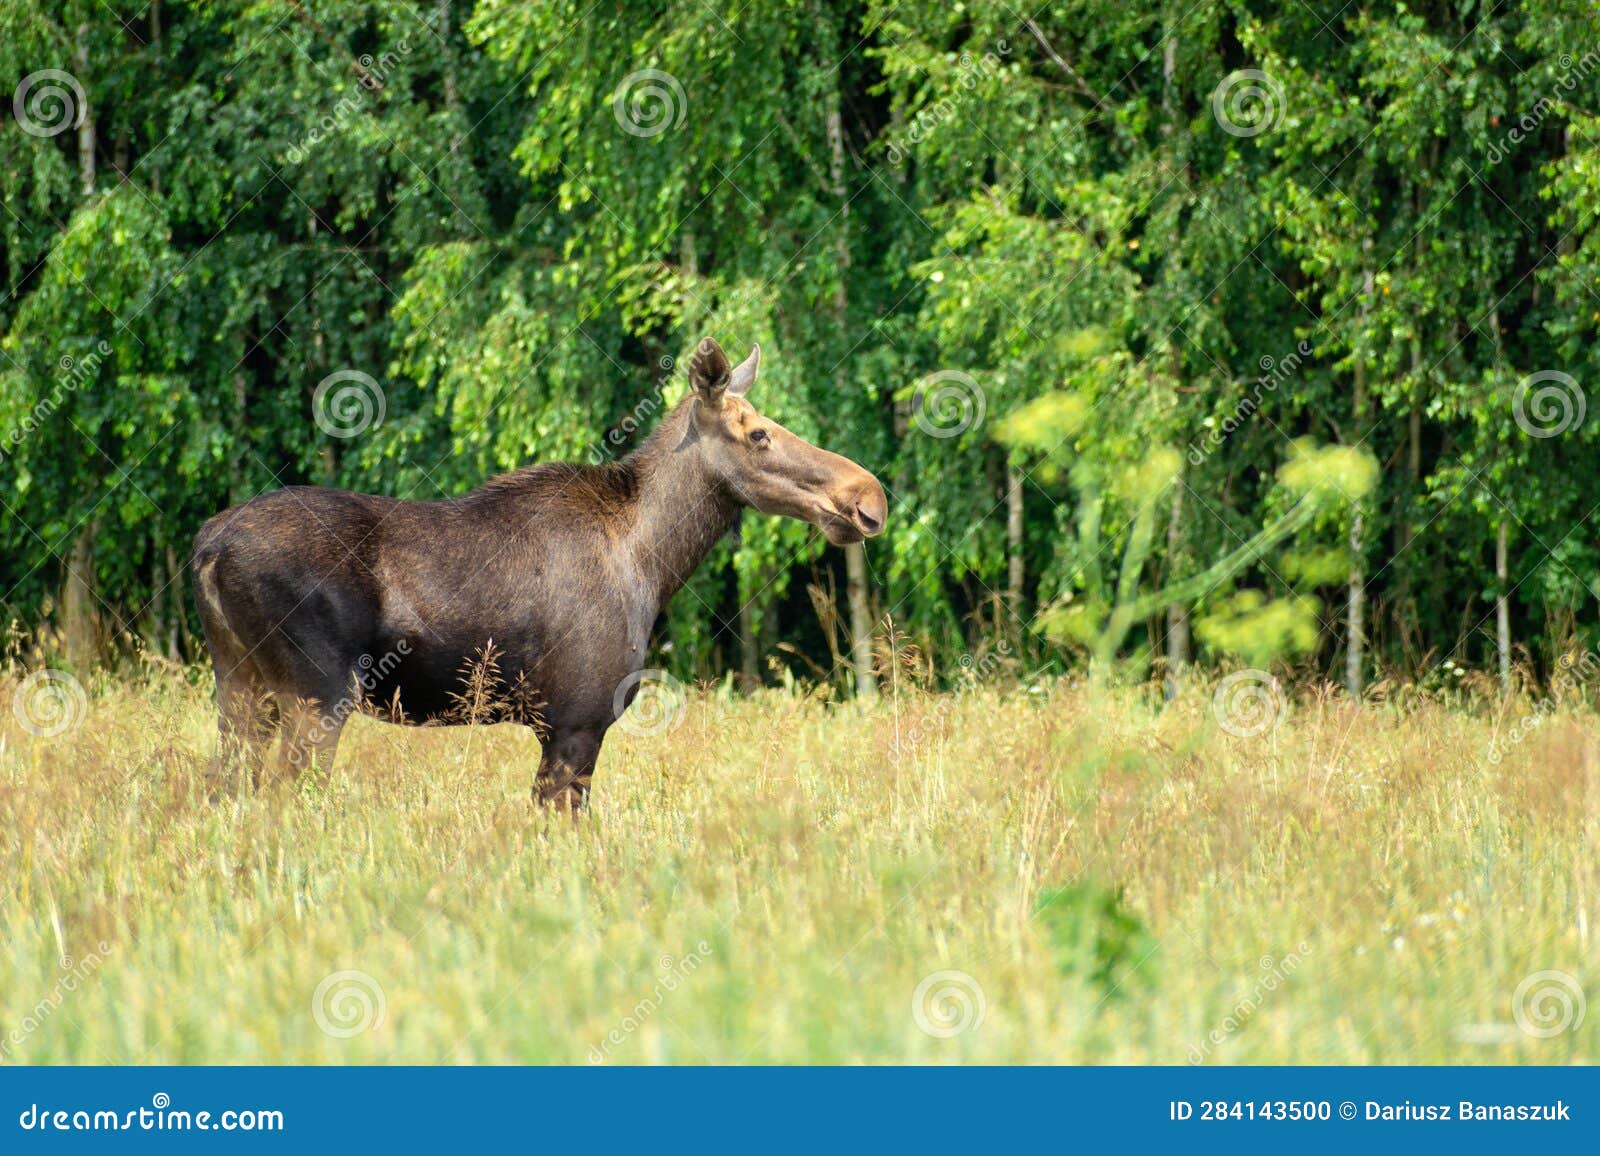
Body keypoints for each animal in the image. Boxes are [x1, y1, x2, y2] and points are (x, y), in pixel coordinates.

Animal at [192, 338, 887, 810]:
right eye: (760, 434)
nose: (868, 497)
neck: (654, 562)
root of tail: (206, 548)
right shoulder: (577, 721)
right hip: (317, 693)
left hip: (240, 687)